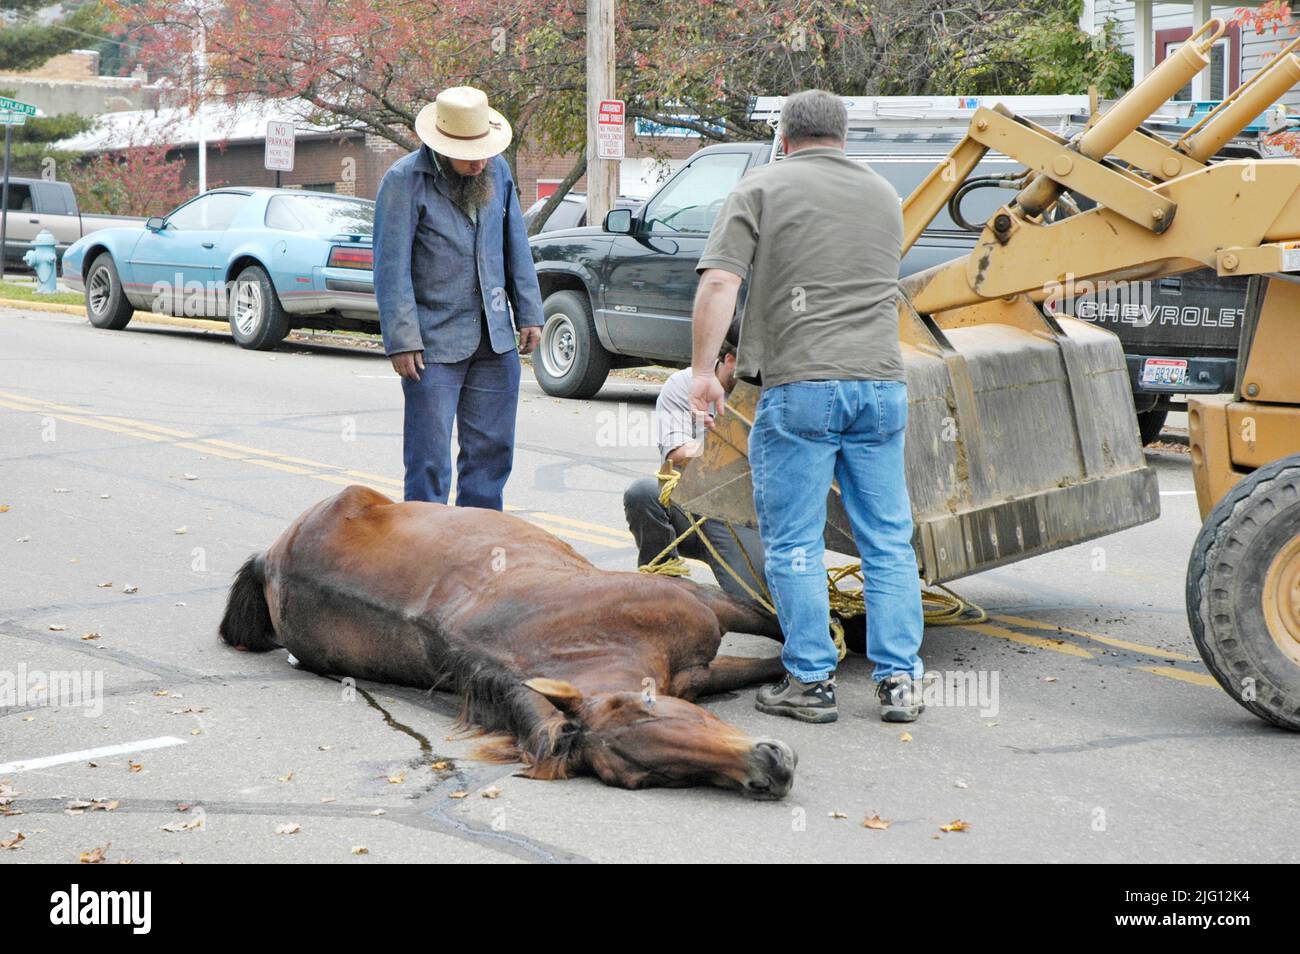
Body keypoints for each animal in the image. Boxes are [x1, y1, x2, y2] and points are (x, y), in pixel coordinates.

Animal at [218, 485, 797, 798]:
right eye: (647, 777)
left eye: (649, 706)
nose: (772, 769)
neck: (590, 637)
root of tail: (271, 558)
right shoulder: (702, 646)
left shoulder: (709, 619)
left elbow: (779, 642)